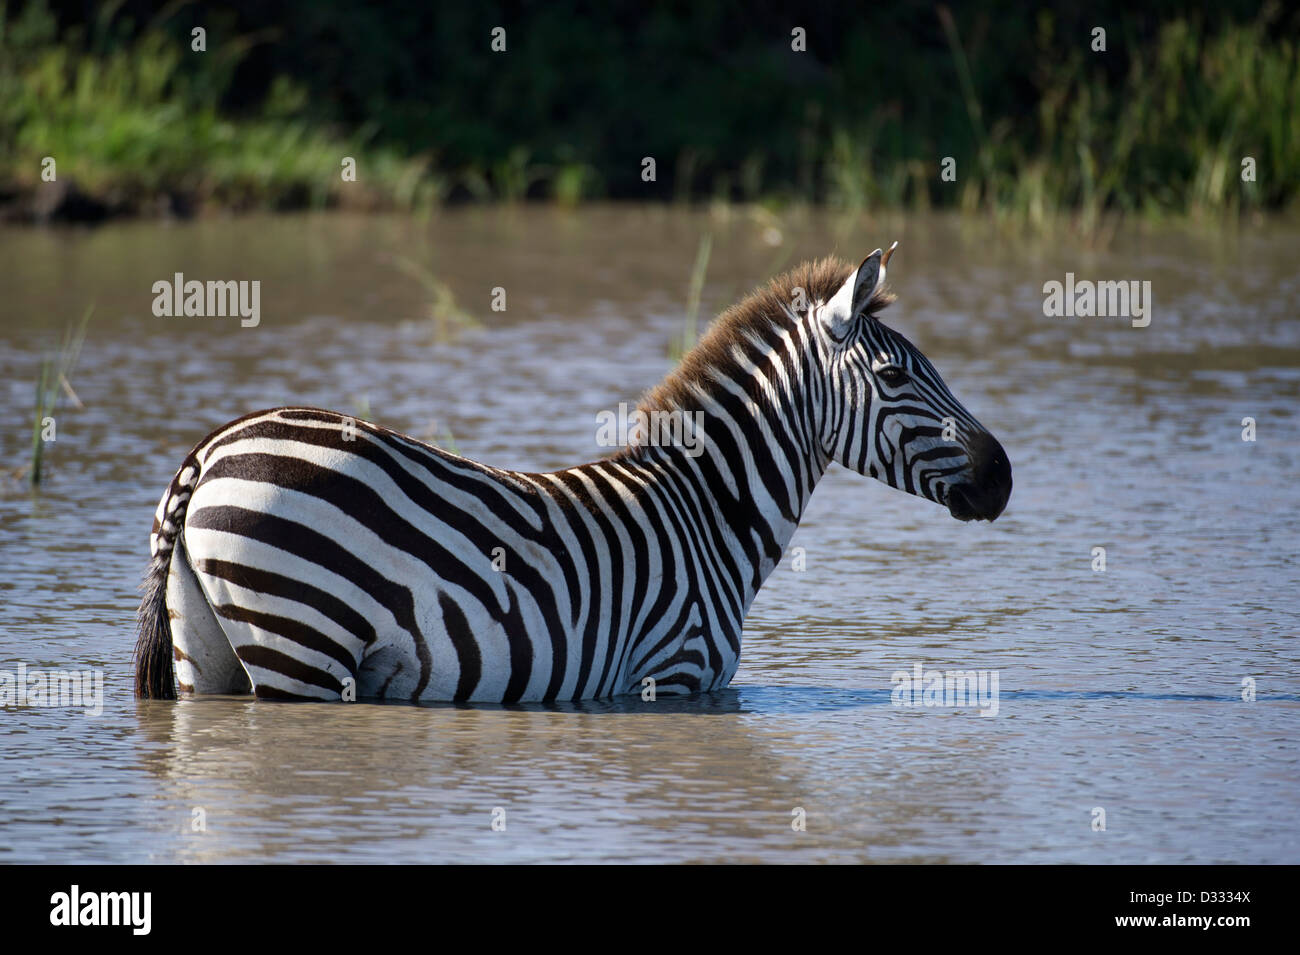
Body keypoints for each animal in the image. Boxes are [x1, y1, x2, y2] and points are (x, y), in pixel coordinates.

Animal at [135, 243, 1011, 703]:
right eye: (896, 377)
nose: (1003, 477)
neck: (710, 513)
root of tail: (211, 451)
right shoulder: (673, 676)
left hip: (209, 654)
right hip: (301, 648)